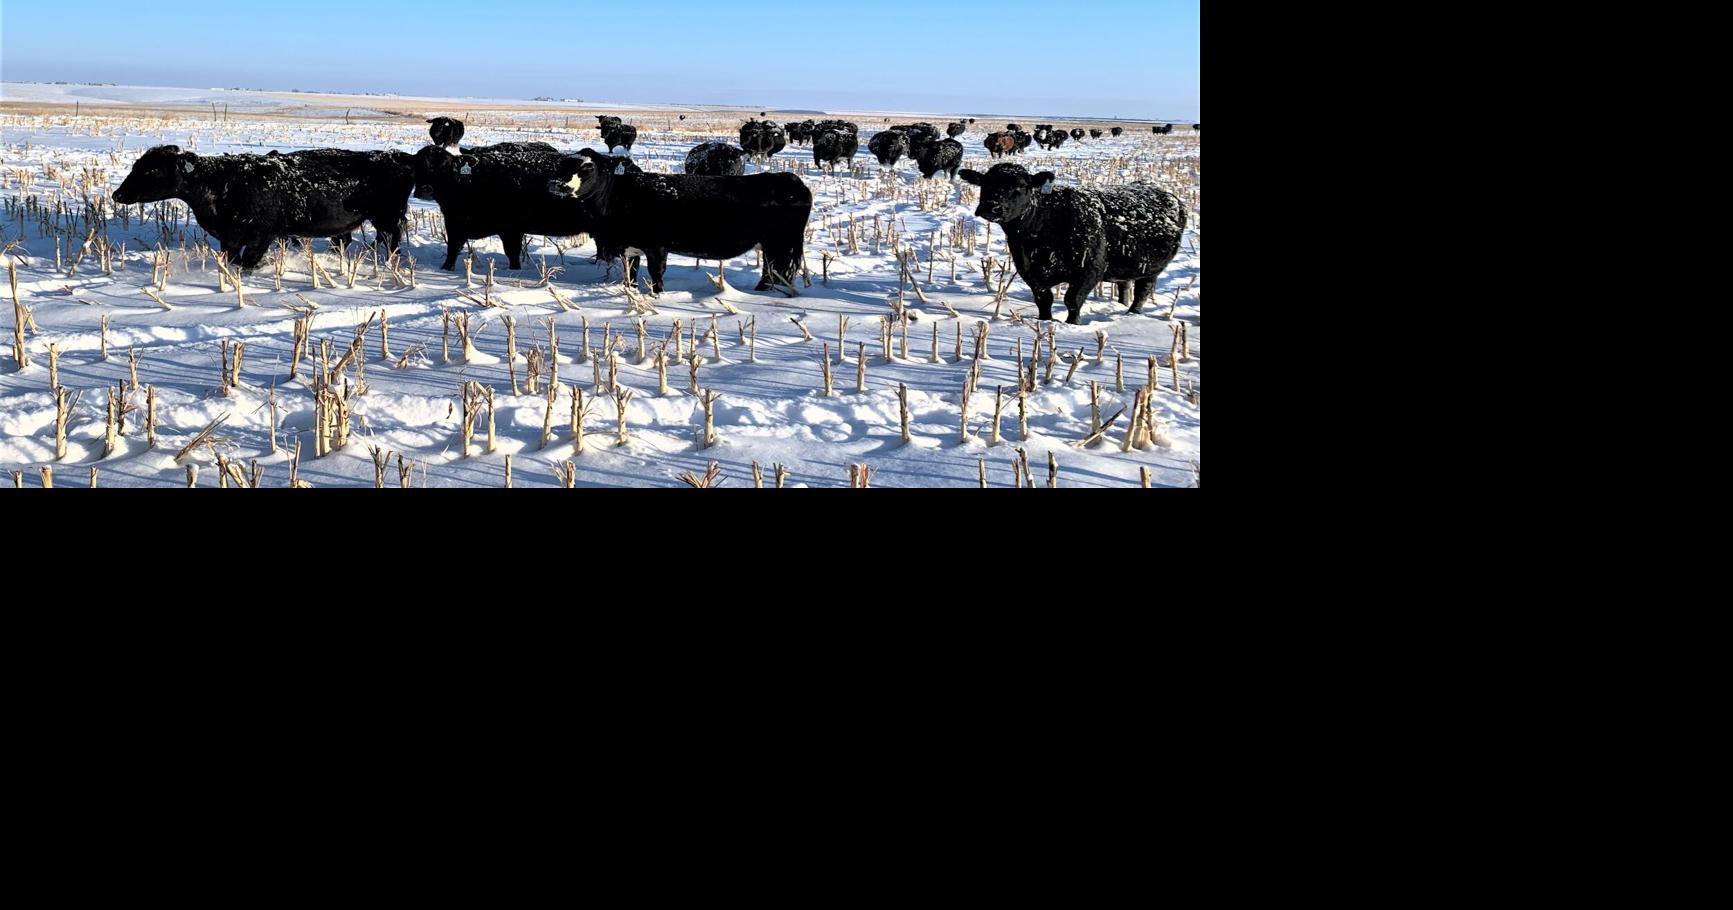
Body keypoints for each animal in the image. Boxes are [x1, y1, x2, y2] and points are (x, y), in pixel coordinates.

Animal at [112, 145, 413, 271]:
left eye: (151, 170)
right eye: (136, 164)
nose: (117, 194)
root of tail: (397, 156)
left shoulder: (261, 235)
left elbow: (248, 261)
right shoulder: (229, 238)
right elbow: (232, 261)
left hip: (388, 218)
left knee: (391, 243)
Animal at [412, 142, 609, 271]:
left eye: (446, 165)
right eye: (417, 165)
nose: (426, 190)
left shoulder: (510, 229)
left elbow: (512, 253)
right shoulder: (454, 223)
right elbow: (452, 249)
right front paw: (445, 268)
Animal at [550, 149, 813, 295]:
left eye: (588, 167)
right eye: (562, 164)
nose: (556, 184)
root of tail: (790, 179)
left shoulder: (657, 246)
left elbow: (657, 275)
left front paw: (657, 296)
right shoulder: (630, 248)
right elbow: (630, 275)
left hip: (780, 244)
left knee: (774, 272)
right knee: (771, 272)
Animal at [959, 164, 1185, 324]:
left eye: (1020, 187)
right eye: (984, 184)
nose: (991, 207)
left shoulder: (1090, 270)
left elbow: (1072, 300)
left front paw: (1072, 324)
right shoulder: (1029, 271)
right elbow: (1044, 300)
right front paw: (1045, 321)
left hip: (1152, 269)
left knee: (1142, 292)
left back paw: (1132, 313)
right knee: (1125, 286)